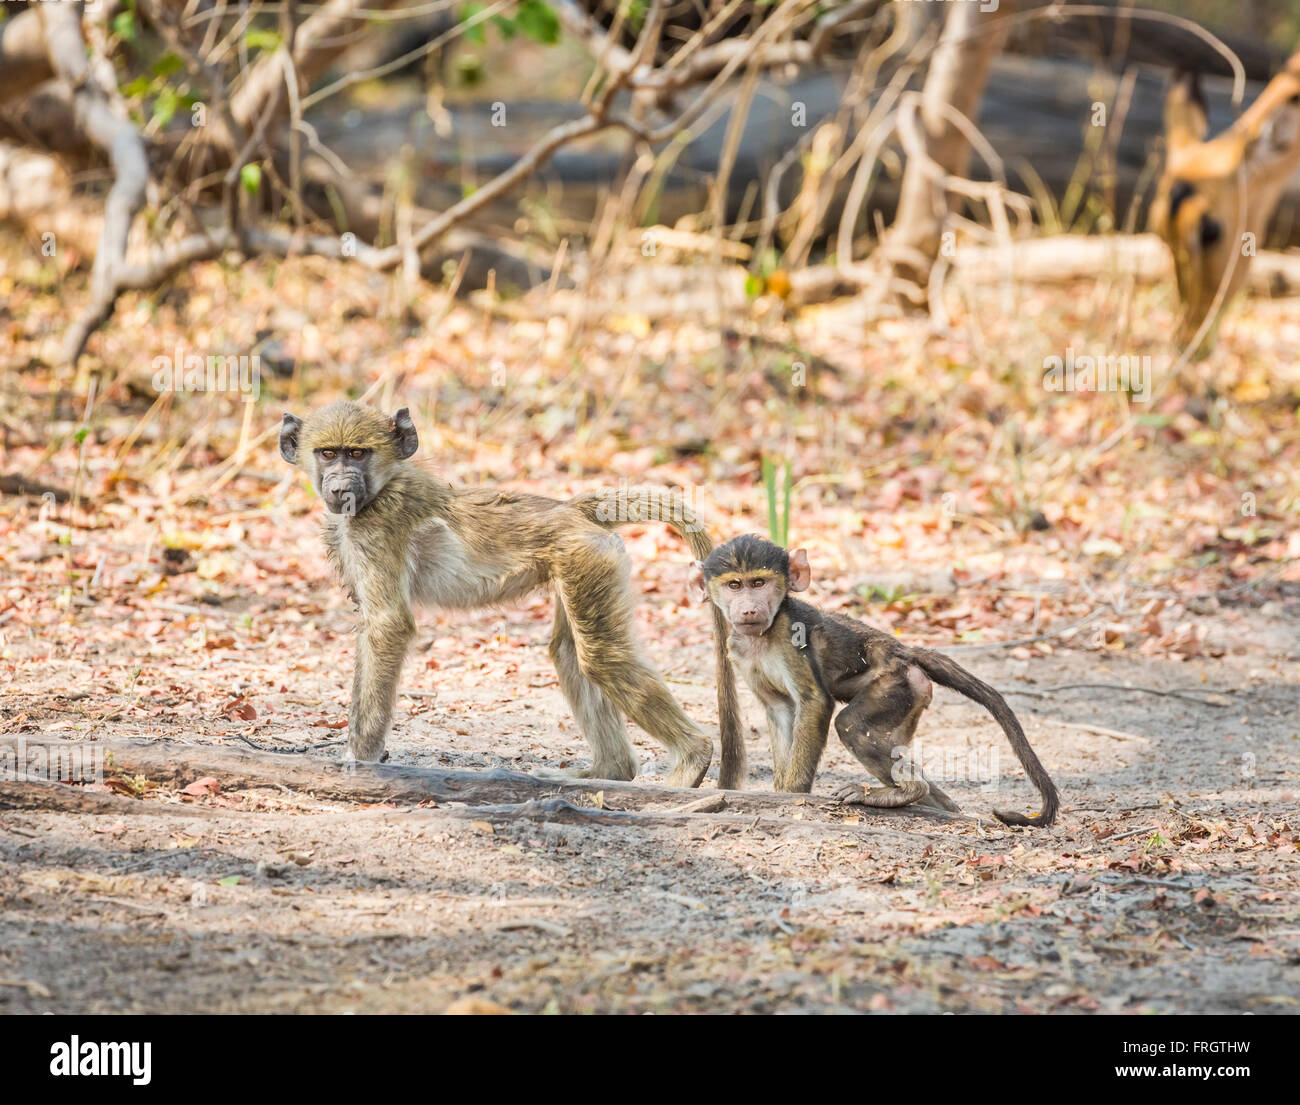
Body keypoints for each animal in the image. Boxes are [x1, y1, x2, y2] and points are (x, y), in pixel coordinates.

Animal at [278, 401, 744, 788]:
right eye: (328, 453)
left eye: (357, 454)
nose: (340, 488)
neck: (382, 485)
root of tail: (571, 510)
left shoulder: (376, 529)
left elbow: (387, 625)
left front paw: (360, 758)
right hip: (585, 563)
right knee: (571, 653)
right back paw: (611, 771)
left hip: (585, 557)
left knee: (600, 657)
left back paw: (691, 762)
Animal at [691, 535, 1059, 827]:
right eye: (734, 585)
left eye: (759, 583)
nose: (749, 610)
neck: (762, 637)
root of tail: (903, 652)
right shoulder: (737, 651)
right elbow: (780, 709)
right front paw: (781, 793)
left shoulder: (789, 636)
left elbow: (815, 703)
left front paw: (794, 794)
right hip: (912, 699)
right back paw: (938, 804)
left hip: (898, 685)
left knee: (851, 724)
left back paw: (904, 792)